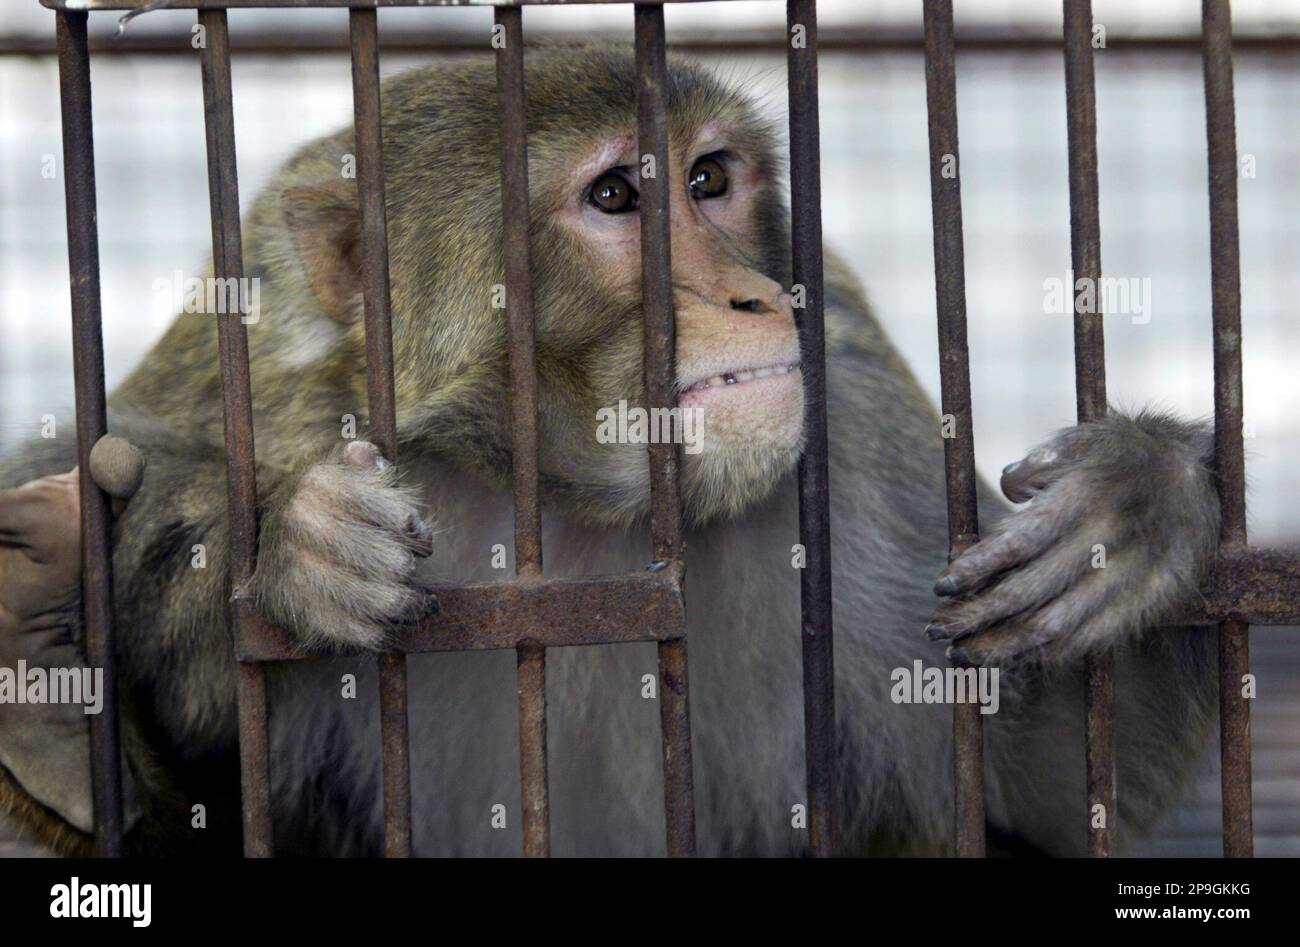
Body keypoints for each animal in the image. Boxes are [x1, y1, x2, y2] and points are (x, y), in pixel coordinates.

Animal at [0, 47, 1222, 857]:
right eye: (615, 195)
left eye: (709, 179)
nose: (754, 296)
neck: (572, 505)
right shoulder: (263, 386)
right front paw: (290, 545)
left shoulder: (858, 422)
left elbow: (1065, 784)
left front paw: (1137, 507)